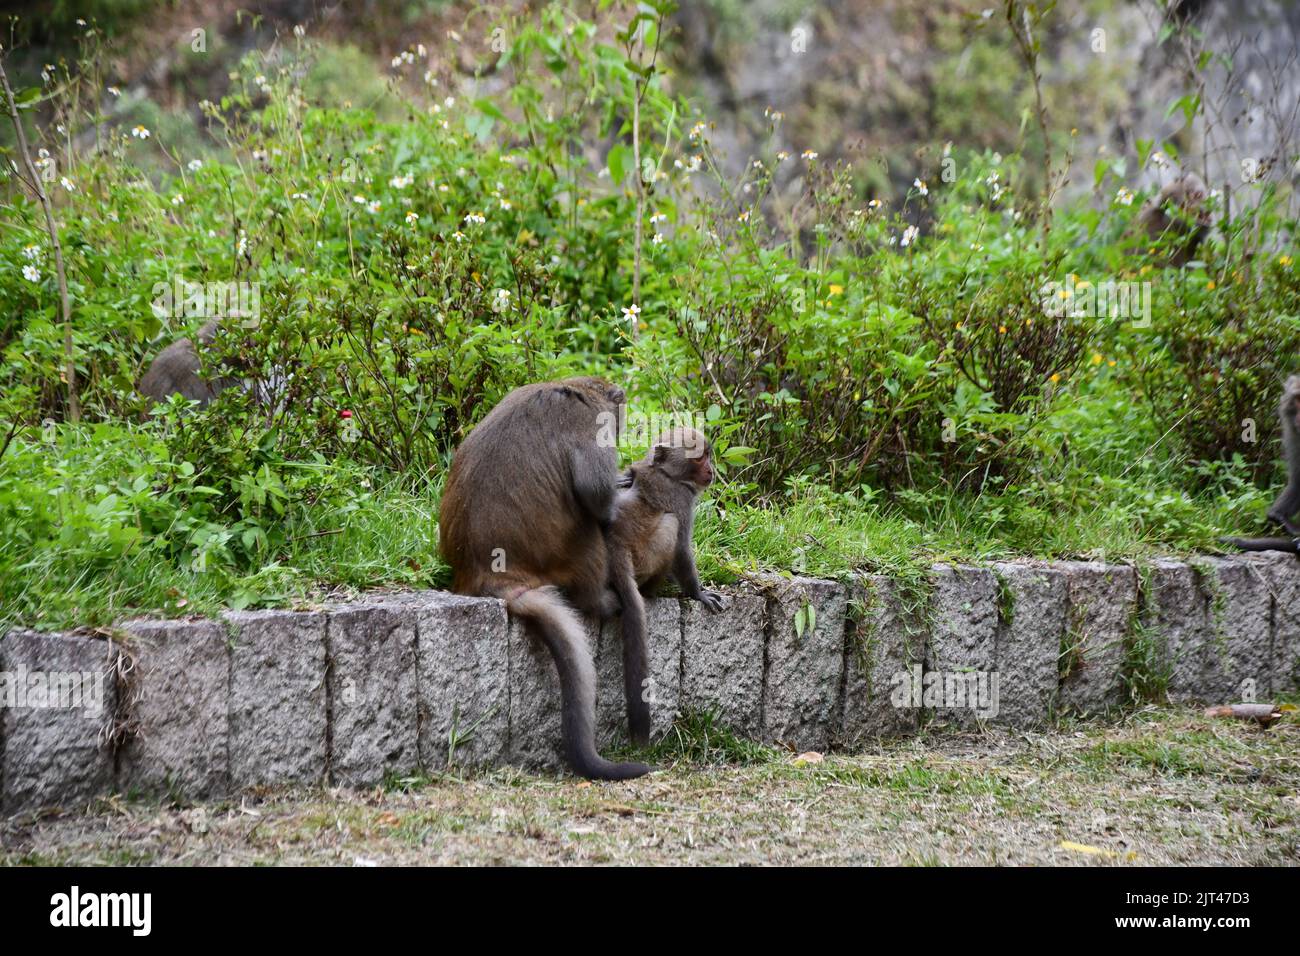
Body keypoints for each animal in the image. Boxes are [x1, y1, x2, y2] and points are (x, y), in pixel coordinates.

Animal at [437, 376, 650, 781]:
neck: (577, 388)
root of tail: (489, 576)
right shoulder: (591, 424)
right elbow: (593, 491)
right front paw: (613, 495)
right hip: (566, 553)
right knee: (589, 524)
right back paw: (598, 599)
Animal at [606, 427, 725, 744]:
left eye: (708, 454)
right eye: (698, 458)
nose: (711, 470)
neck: (666, 473)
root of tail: (615, 548)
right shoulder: (681, 499)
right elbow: (682, 547)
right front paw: (698, 593)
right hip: (645, 559)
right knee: (669, 525)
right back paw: (653, 591)